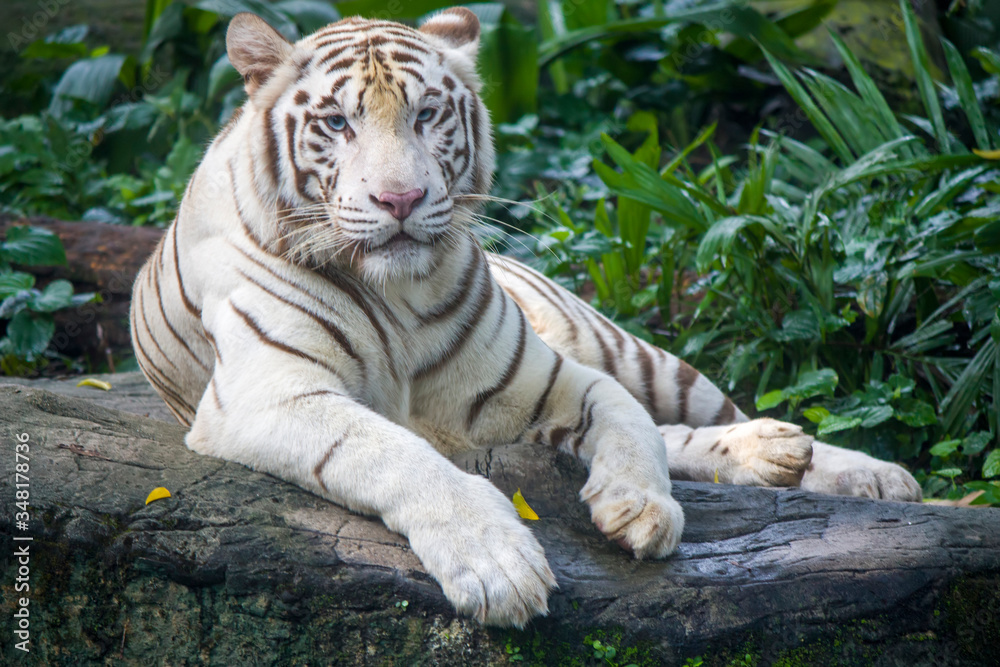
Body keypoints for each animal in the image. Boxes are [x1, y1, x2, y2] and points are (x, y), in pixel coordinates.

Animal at [129, 8, 922, 628]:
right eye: (336, 123)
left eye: (425, 114)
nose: (400, 199)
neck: (396, 296)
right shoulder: (269, 395)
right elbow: (395, 452)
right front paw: (497, 567)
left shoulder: (549, 374)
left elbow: (630, 423)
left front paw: (639, 505)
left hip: (635, 352)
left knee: (687, 411)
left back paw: (863, 472)